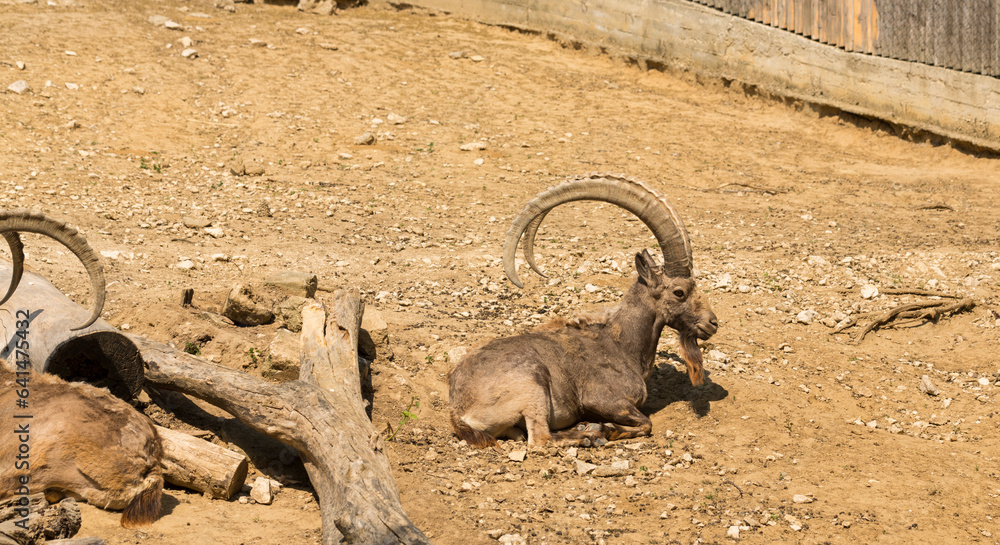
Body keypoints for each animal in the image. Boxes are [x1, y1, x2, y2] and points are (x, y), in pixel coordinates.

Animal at [448, 174, 718, 447]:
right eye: (679, 292)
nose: (712, 323)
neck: (621, 345)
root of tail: (460, 410)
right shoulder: (603, 399)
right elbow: (646, 423)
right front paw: (605, 428)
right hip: (533, 388)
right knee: (541, 439)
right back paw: (589, 435)